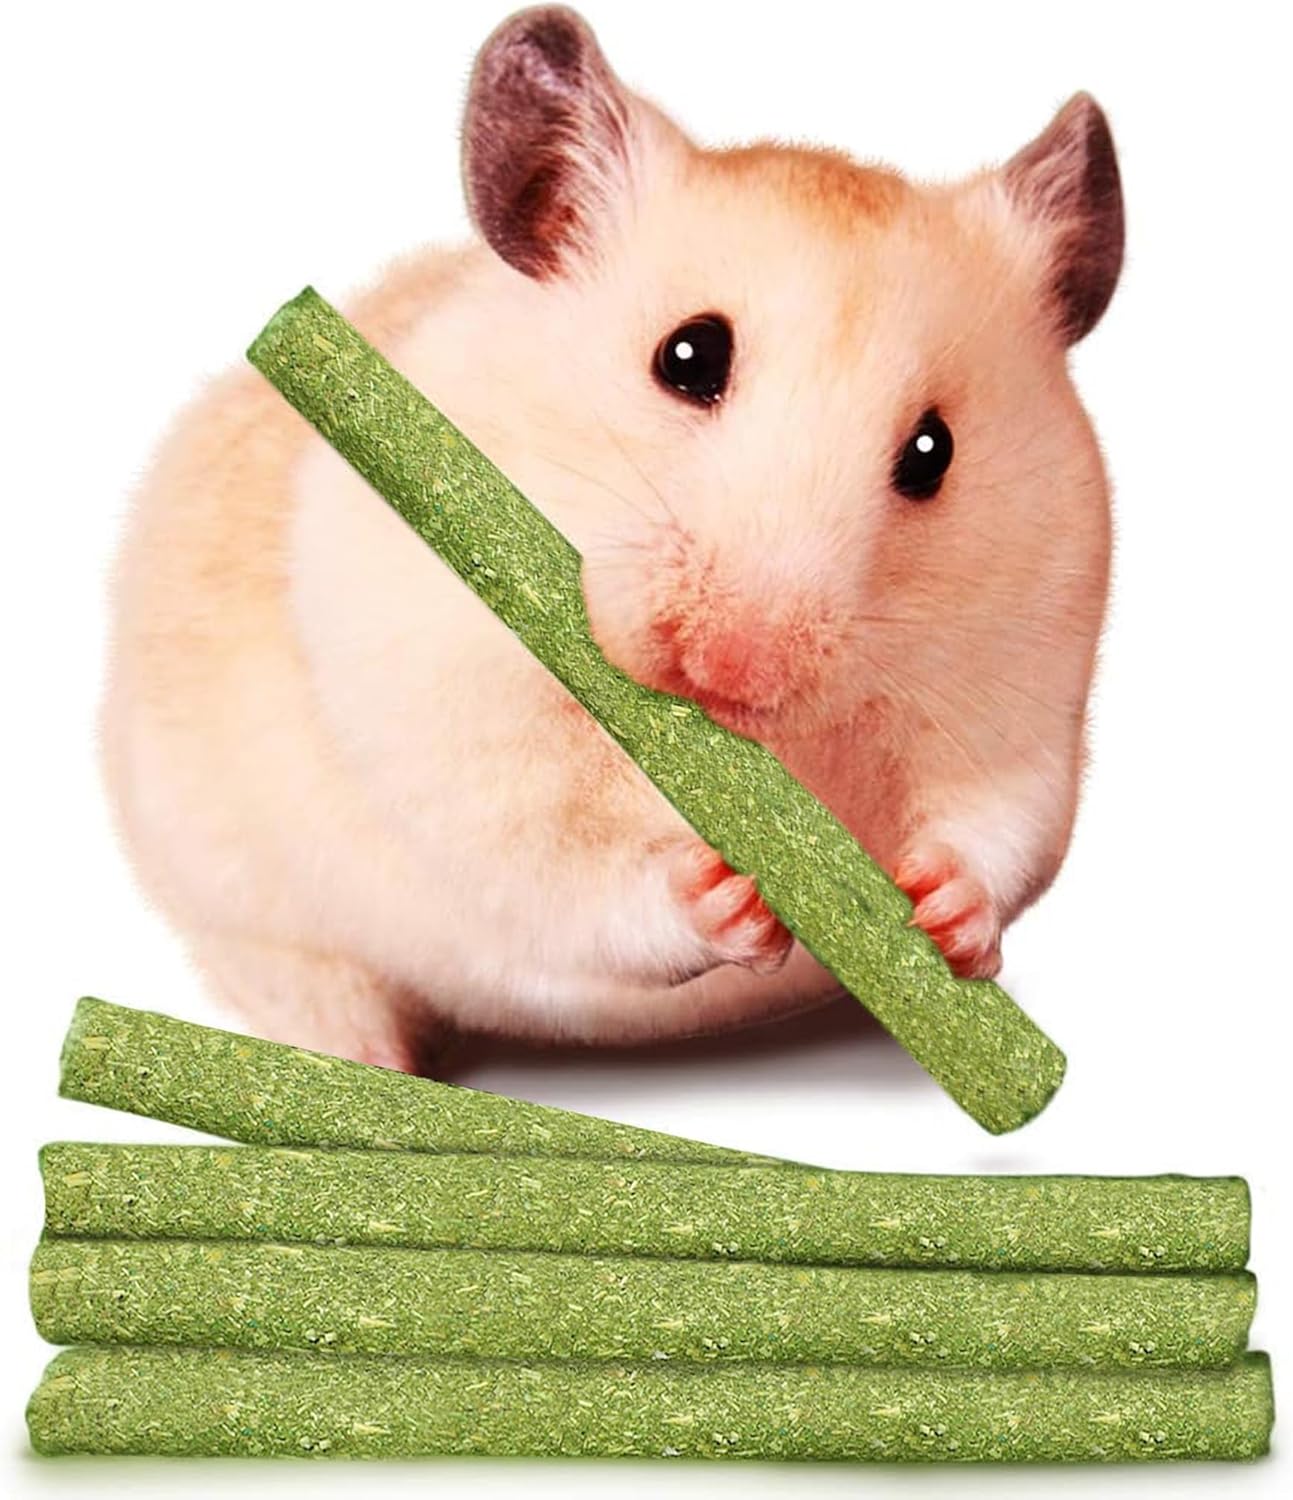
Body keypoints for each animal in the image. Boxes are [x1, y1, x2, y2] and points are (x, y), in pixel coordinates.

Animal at [100, 5, 1123, 1071]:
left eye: (933, 451)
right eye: (688, 355)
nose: (739, 663)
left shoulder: (1018, 711)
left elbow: (997, 831)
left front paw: (939, 913)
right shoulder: (457, 731)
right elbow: (574, 864)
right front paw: (732, 900)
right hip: (251, 921)